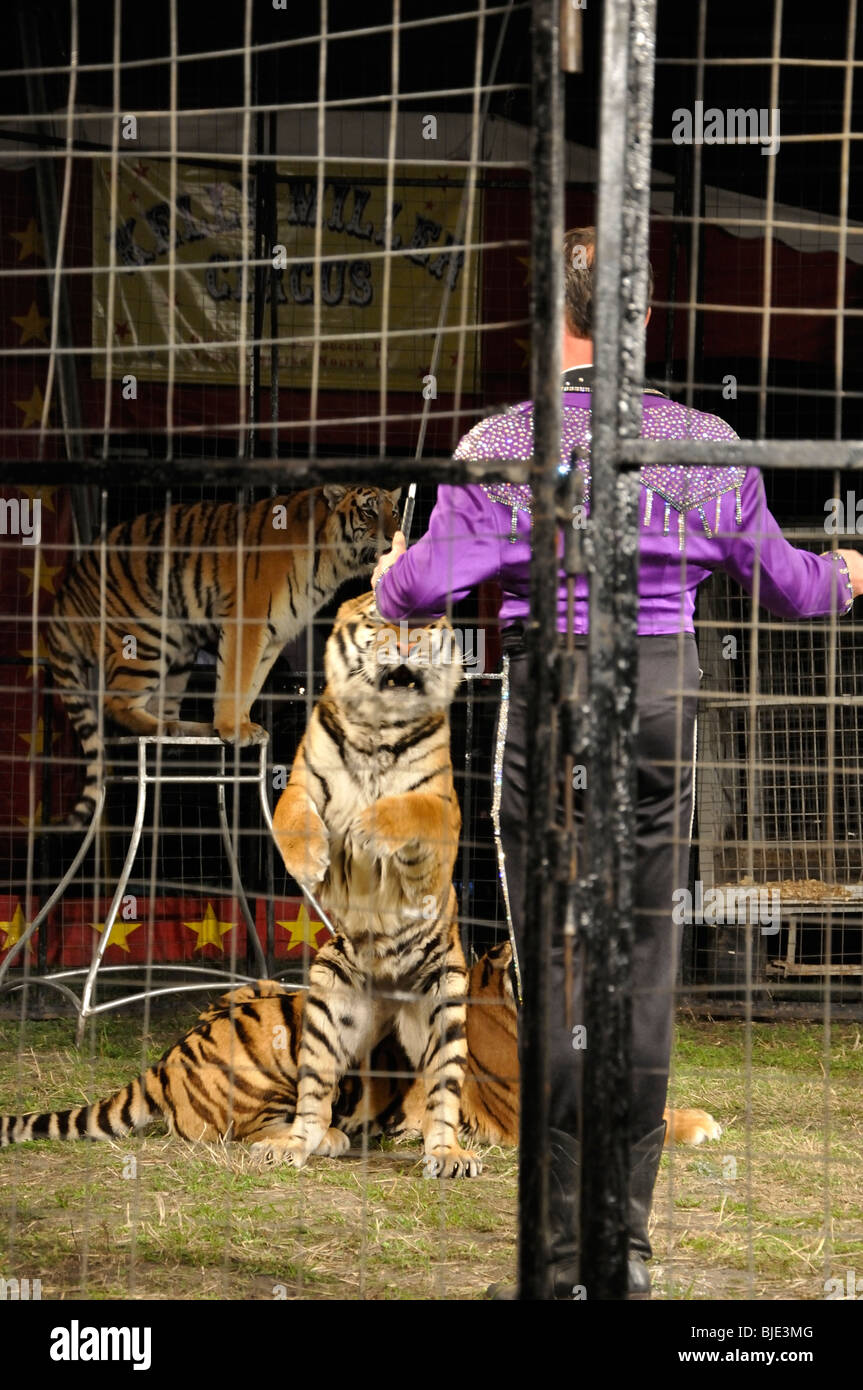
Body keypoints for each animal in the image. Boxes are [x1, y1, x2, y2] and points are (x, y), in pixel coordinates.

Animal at [43, 485, 401, 826]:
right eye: (368, 510)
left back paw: (188, 728)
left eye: (394, 511)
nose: (392, 538)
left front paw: (243, 725)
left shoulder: (275, 635)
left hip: (178, 650)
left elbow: (251, 684)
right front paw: (232, 728)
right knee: (116, 702)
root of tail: (61, 602)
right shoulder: (248, 620)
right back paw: (166, 728)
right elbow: (235, 678)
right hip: (145, 635)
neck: (329, 558)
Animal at [269, 588, 479, 1177]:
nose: (405, 647)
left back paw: (448, 1155)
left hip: (446, 1011)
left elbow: (406, 807)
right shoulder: (303, 780)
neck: (377, 728)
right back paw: (296, 1144)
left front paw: (367, 826)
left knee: (442, 1099)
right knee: (315, 1096)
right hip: (328, 1007)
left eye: (424, 626)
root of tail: (389, 994)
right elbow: (291, 814)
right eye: (381, 622)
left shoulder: (441, 808)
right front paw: (312, 862)